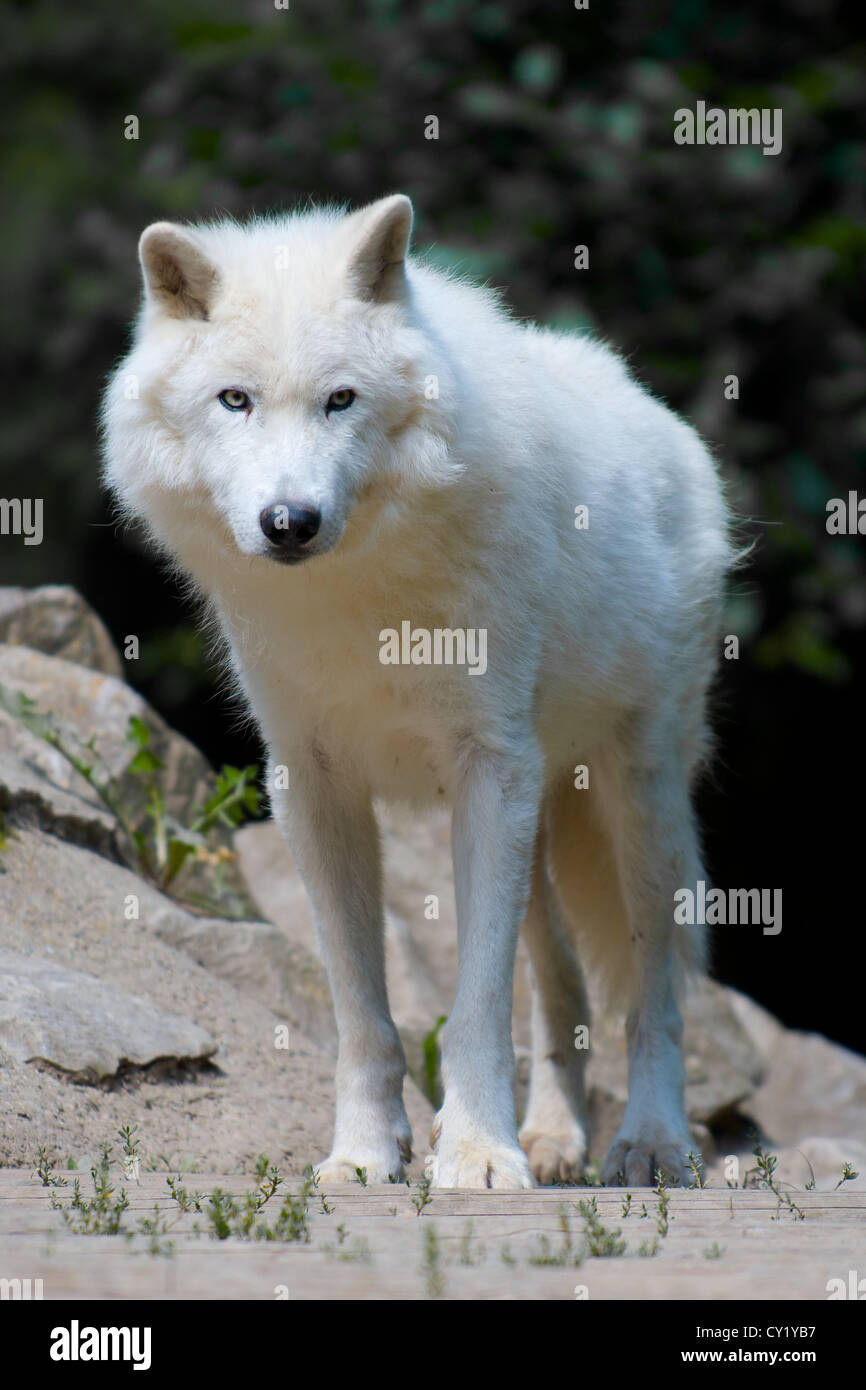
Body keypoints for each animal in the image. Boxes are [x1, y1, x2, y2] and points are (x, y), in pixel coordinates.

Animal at [102, 194, 732, 1188]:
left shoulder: (490, 771)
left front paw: (475, 1156)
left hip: (638, 804)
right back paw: (554, 1140)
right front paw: (365, 1157)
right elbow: (363, 1014)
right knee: (562, 987)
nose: (290, 522)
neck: (355, 597)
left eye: (341, 400)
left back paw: (651, 1145)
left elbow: (476, 1008)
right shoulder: (314, 785)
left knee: (654, 995)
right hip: (543, 819)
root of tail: (661, 417)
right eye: (235, 400)